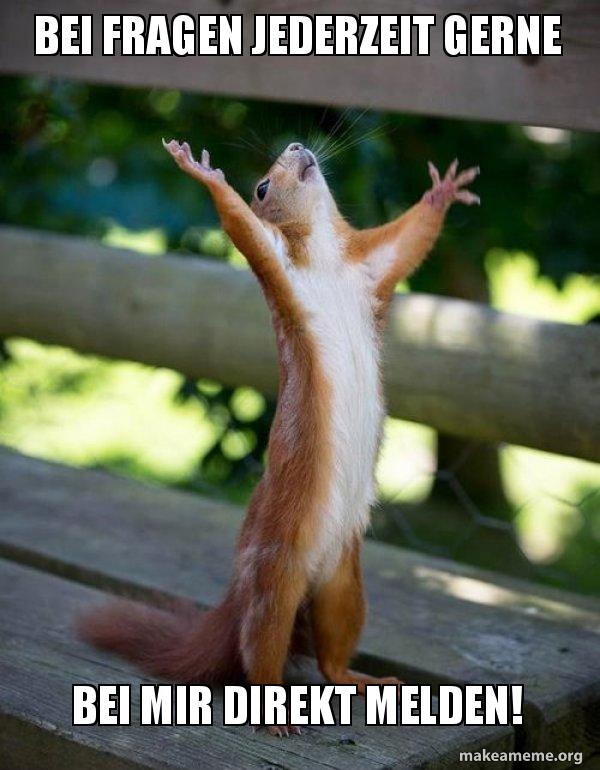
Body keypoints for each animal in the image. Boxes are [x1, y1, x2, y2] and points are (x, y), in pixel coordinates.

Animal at [79, 138, 479, 736]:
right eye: (262, 186)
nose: (296, 146)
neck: (327, 259)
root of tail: (240, 592)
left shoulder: (371, 267)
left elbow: (408, 241)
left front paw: (443, 191)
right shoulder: (278, 265)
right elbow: (242, 227)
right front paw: (204, 173)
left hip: (344, 585)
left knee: (332, 656)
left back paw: (364, 681)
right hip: (275, 578)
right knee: (260, 651)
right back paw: (275, 713)